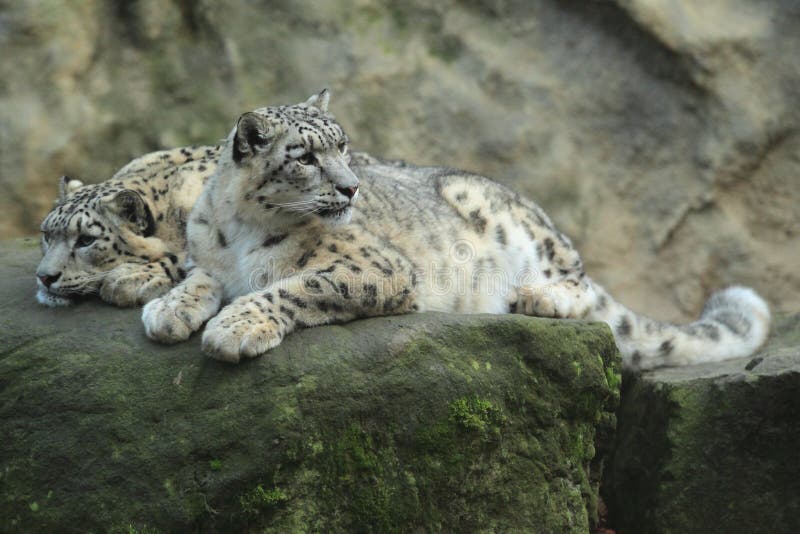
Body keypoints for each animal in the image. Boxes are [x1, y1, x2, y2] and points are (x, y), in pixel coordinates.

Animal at [142, 90, 771, 370]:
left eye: (343, 145)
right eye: (305, 157)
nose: (351, 189)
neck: (245, 230)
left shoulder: (376, 267)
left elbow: (298, 286)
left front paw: (234, 327)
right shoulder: (209, 256)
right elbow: (199, 277)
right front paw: (169, 311)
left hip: (514, 219)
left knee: (582, 281)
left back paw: (536, 296)